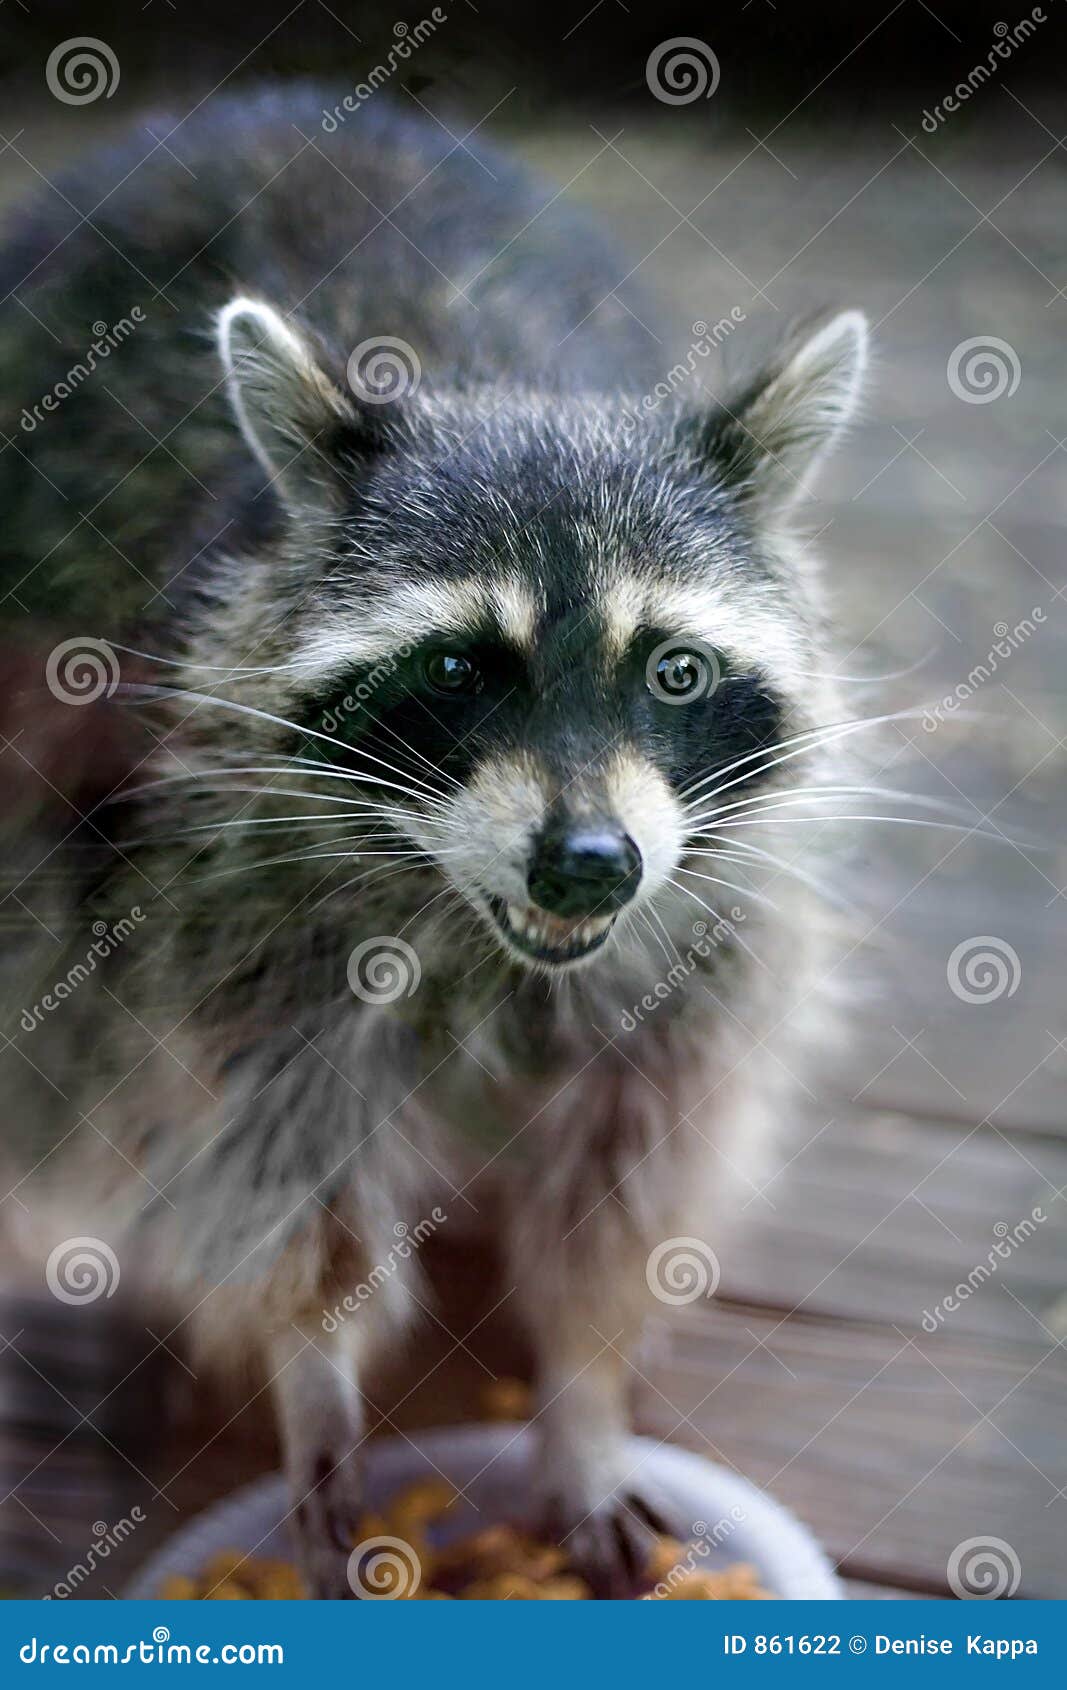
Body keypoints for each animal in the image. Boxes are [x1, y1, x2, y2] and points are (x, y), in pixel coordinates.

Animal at [0, 88, 866, 1595]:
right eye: (459, 667)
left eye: (674, 671)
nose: (588, 862)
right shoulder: (225, 892)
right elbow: (274, 1162)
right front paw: (313, 1376)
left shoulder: (708, 924)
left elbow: (626, 1178)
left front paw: (580, 1393)